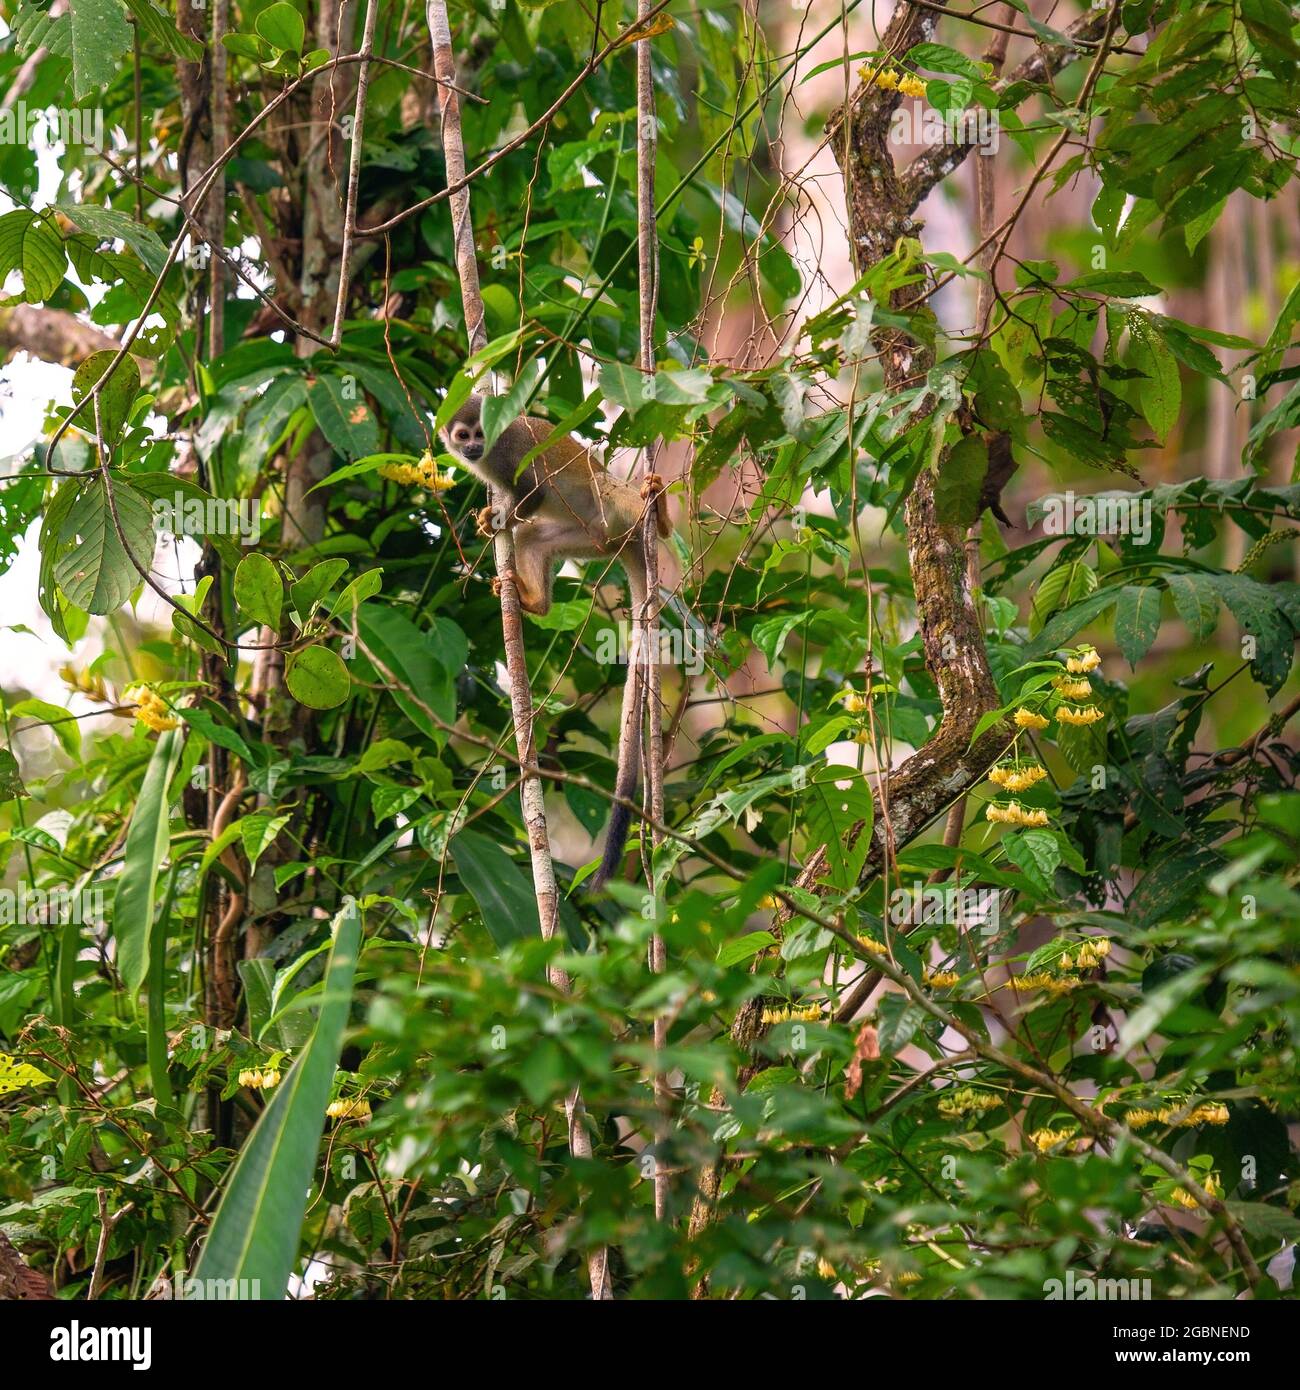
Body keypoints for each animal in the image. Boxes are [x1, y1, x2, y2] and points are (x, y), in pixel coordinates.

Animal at [442, 393, 670, 889]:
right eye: (462, 436)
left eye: (480, 434)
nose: (472, 448)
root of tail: (621, 542)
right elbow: (524, 511)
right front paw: (492, 518)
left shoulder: (507, 450)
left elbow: (535, 493)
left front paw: (494, 518)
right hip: (588, 541)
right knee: (533, 537)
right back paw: (534, 604)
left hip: (611, 514)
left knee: (606, 485)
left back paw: (659, 517)